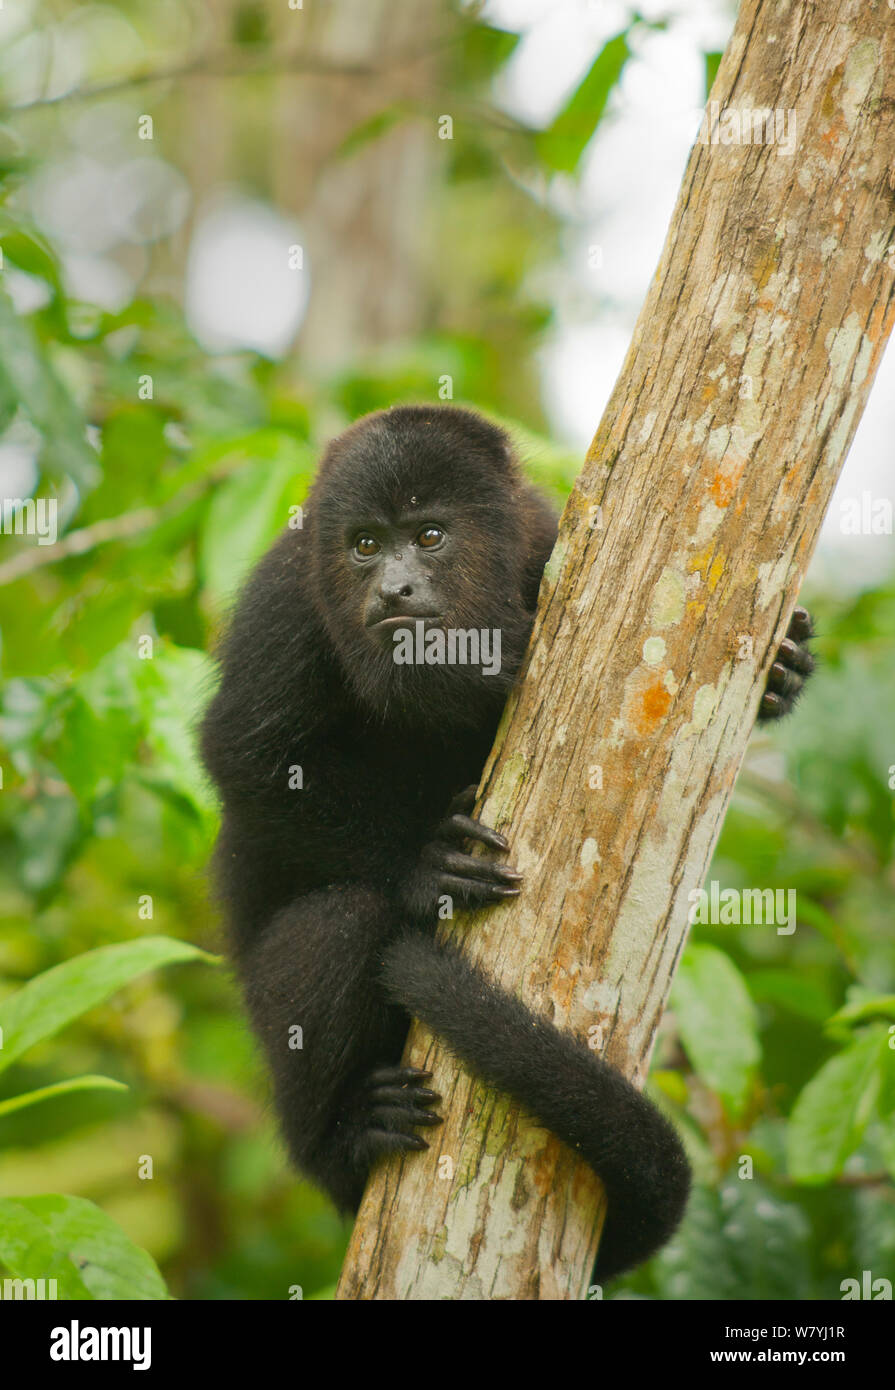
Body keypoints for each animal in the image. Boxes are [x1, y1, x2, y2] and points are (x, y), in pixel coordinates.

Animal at [199, 404, 815, 1283]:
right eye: (362, 545)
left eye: (429, 536)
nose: (392, 588)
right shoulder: (284, 597)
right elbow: (247, 755)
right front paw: (422, 865)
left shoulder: (547, 546)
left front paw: (786, 667)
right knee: (338, 925)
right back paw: (341, 1143)